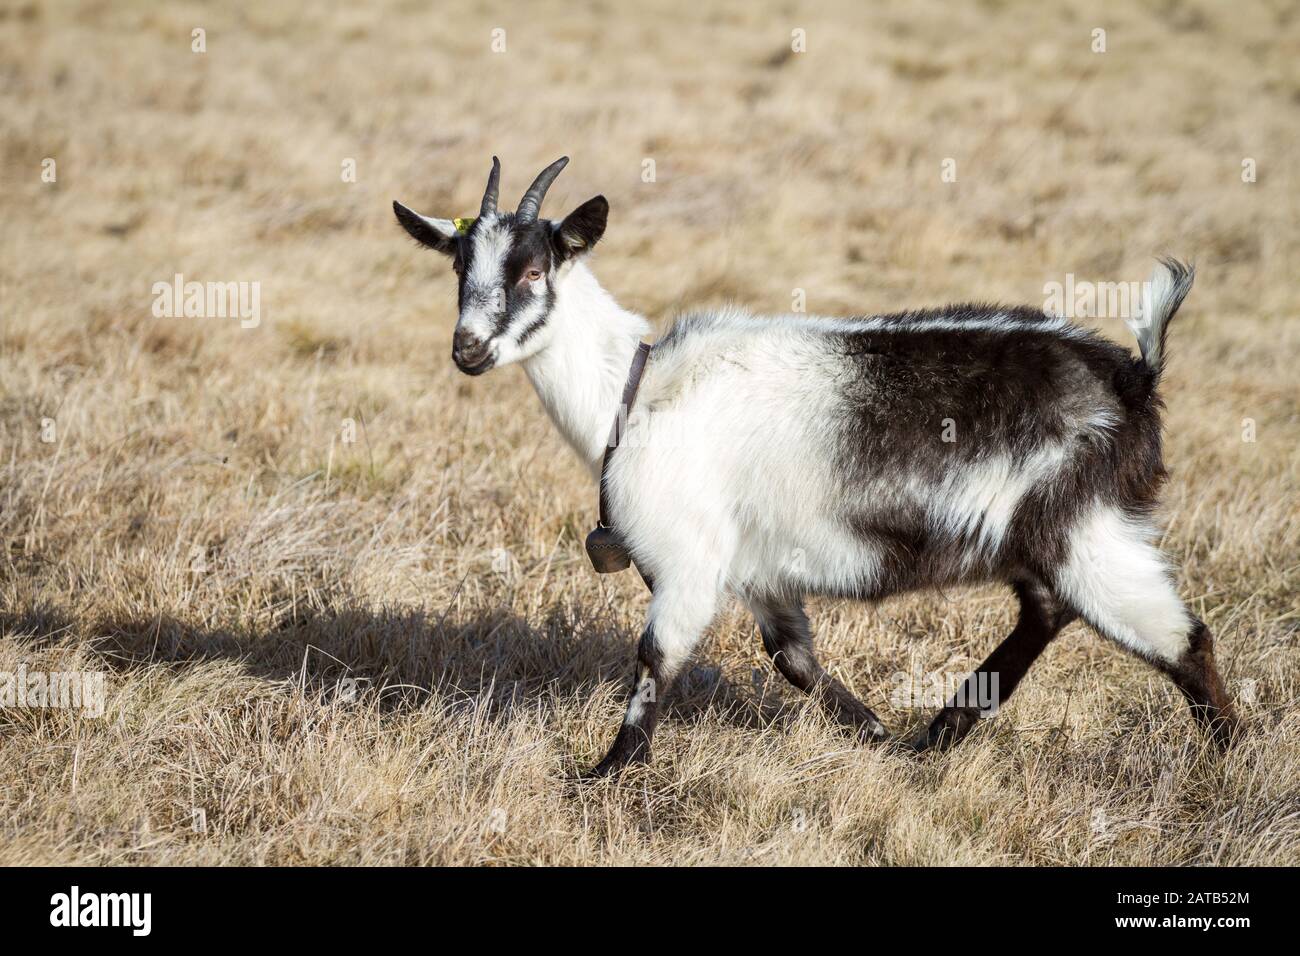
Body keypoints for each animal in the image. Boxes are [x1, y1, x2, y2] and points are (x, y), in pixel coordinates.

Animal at [394, 157, 1239, 776]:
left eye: (535, 271)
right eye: (458, 268)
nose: (468, 350)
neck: (636, 391)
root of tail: (1134, 375)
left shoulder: (690, 560)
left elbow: (656, 658)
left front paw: (607, 773)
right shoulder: (759, 567)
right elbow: (793, 659)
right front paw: (874, 734)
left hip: (1084, 526)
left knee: (1180, 638)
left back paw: (1229, 764)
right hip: (1052, 532)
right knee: (1049, 609)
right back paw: (939, 733)